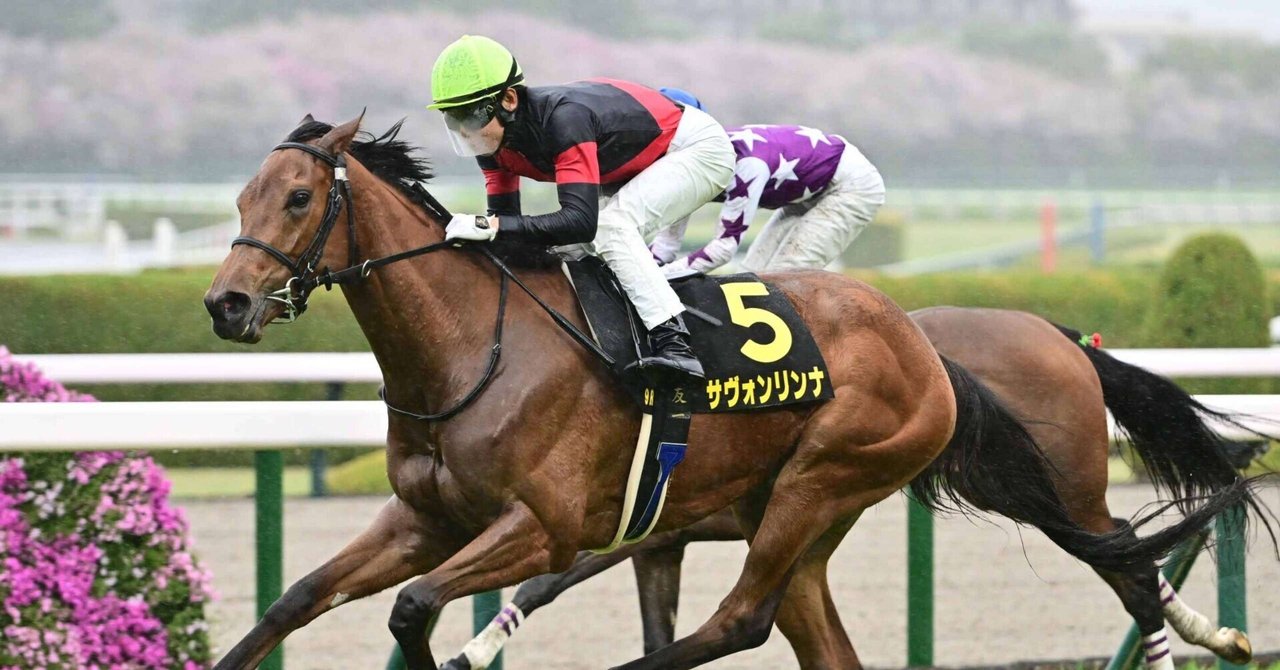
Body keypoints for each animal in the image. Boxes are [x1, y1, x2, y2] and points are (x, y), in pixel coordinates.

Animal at [444, 307, 1275, 669]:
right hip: (1027, 487)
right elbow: (591, 600)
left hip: (1055, 486)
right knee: (1128, 553)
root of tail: (1058, 334)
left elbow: (545, 581)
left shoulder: (635, 521)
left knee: (1127, 559)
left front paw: (471, 650)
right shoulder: (654, 537)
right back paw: (1216, 635)